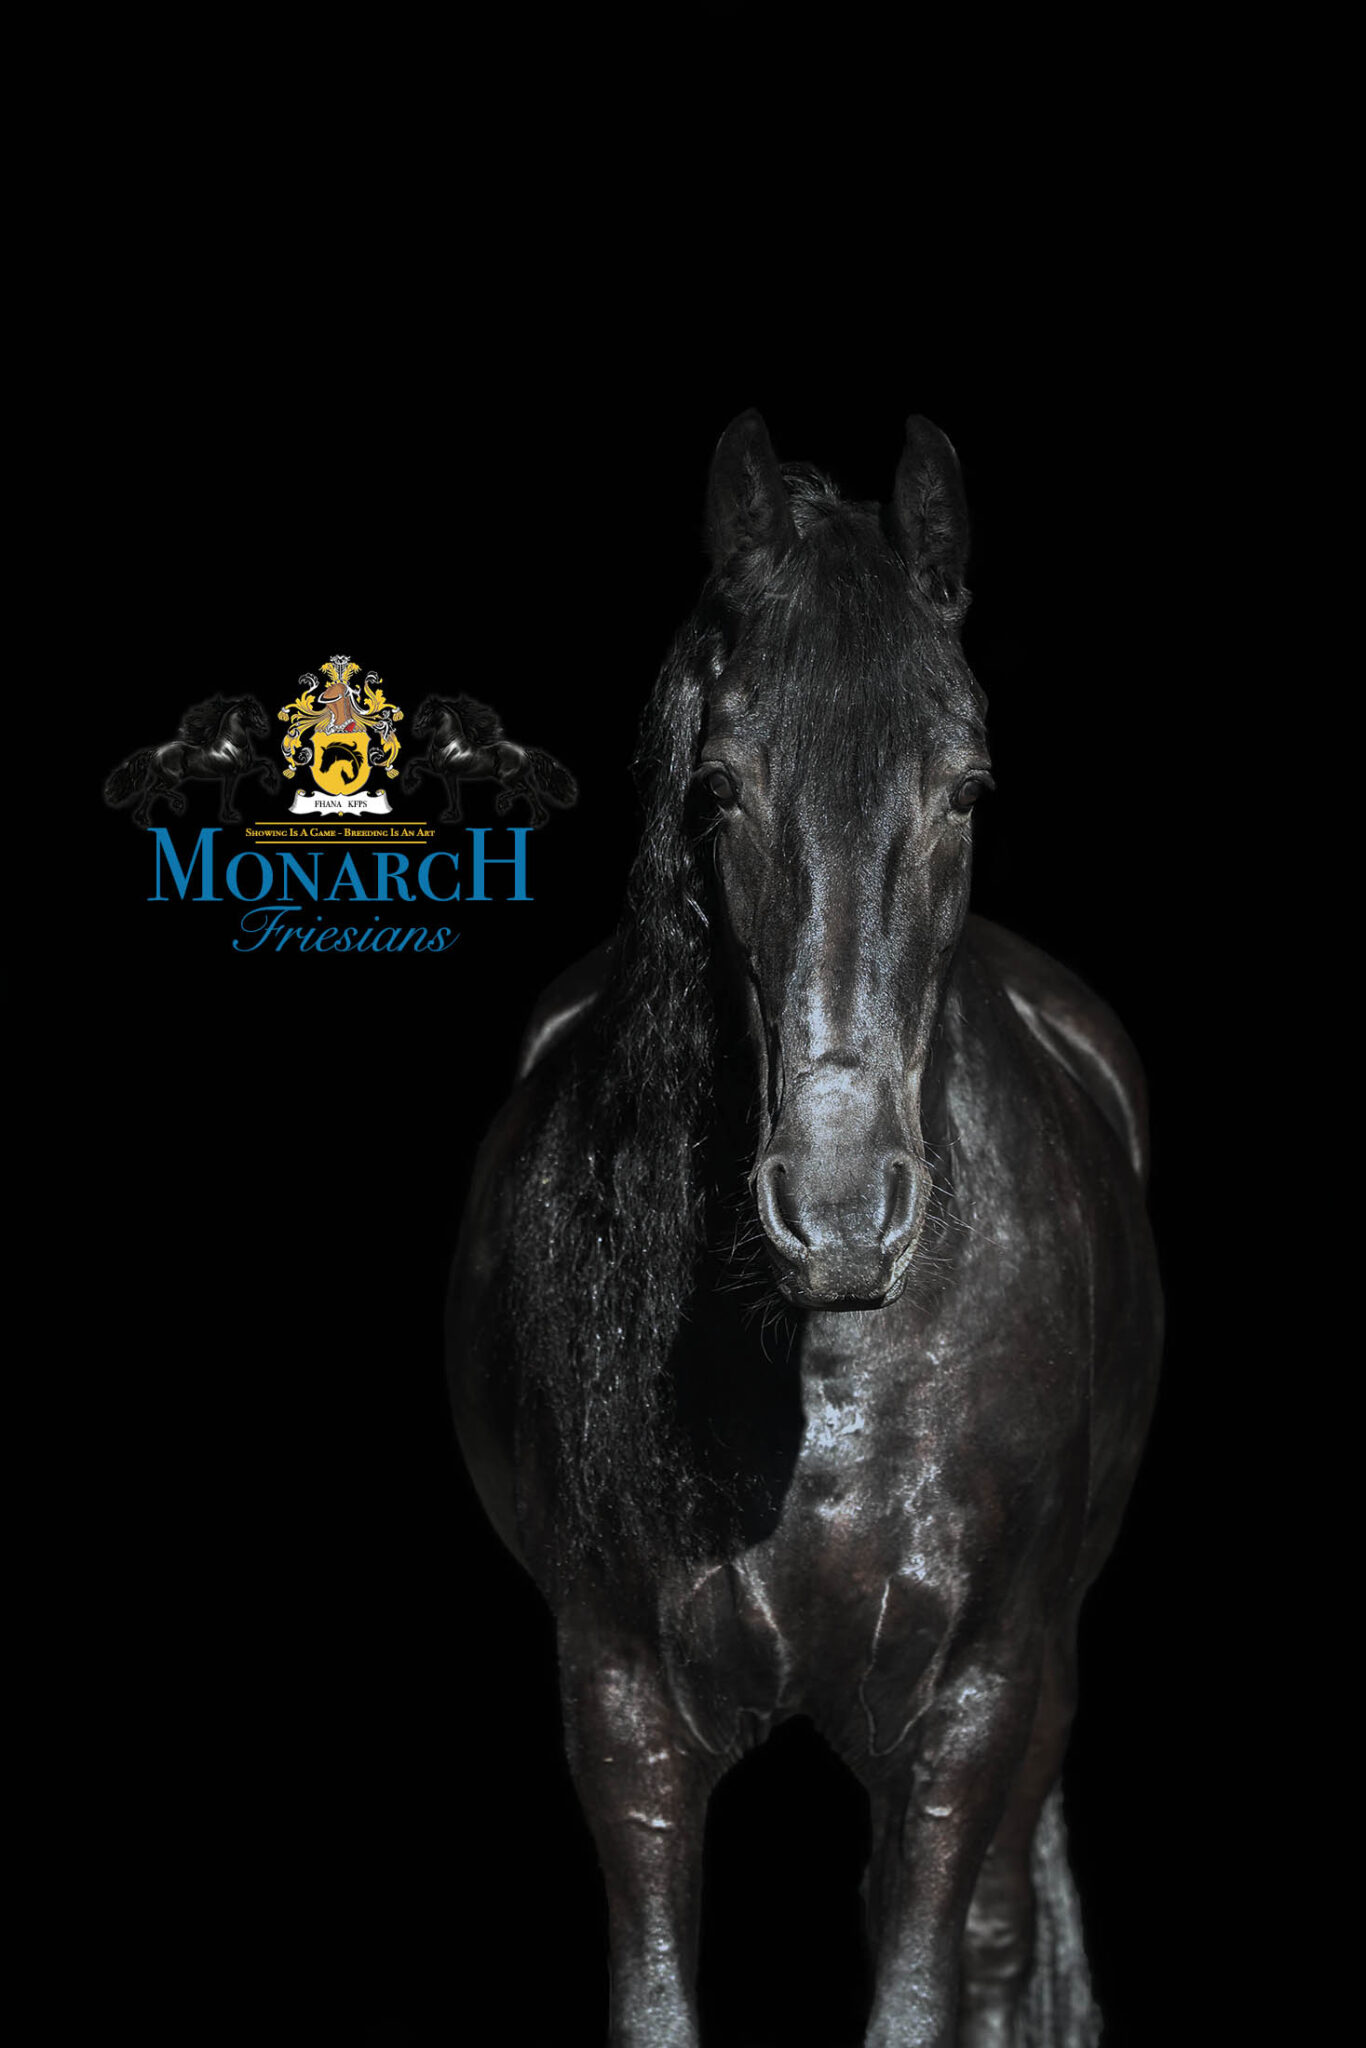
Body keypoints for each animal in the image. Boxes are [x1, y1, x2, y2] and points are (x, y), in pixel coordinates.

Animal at [103, 695, 280, 828]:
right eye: (253, 712)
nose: (264, 729)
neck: (233, 744)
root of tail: (155, 752)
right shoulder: (231, 775)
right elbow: (228, 794)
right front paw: (230, 816)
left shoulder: (247, 767)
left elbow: (267, 763)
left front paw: (271, 782)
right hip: (173, 778)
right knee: (154, 790)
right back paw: (178, 803)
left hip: (163, 777)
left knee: (150, 792)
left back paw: (143, 819)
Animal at [402, 692, 577, 825]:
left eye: (428, 712)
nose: (416, 728)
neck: (447, 744)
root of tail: (524, 752)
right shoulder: (434, 767)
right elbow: (413, 763)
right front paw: (410, 783)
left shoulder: (449, 774)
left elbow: (453, 794)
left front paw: (451, 816)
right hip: (518, 777)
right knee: (531, 793)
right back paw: (538, 820)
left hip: (507, 777)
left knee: (524, 790)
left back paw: (502, 803)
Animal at [448, 413, 1162, 2047]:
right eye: (716, 789)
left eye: (965, 787)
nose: (836, 1216)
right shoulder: (623, 1711)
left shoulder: (970, 1709)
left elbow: (927, 1986)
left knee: (996, 1944)